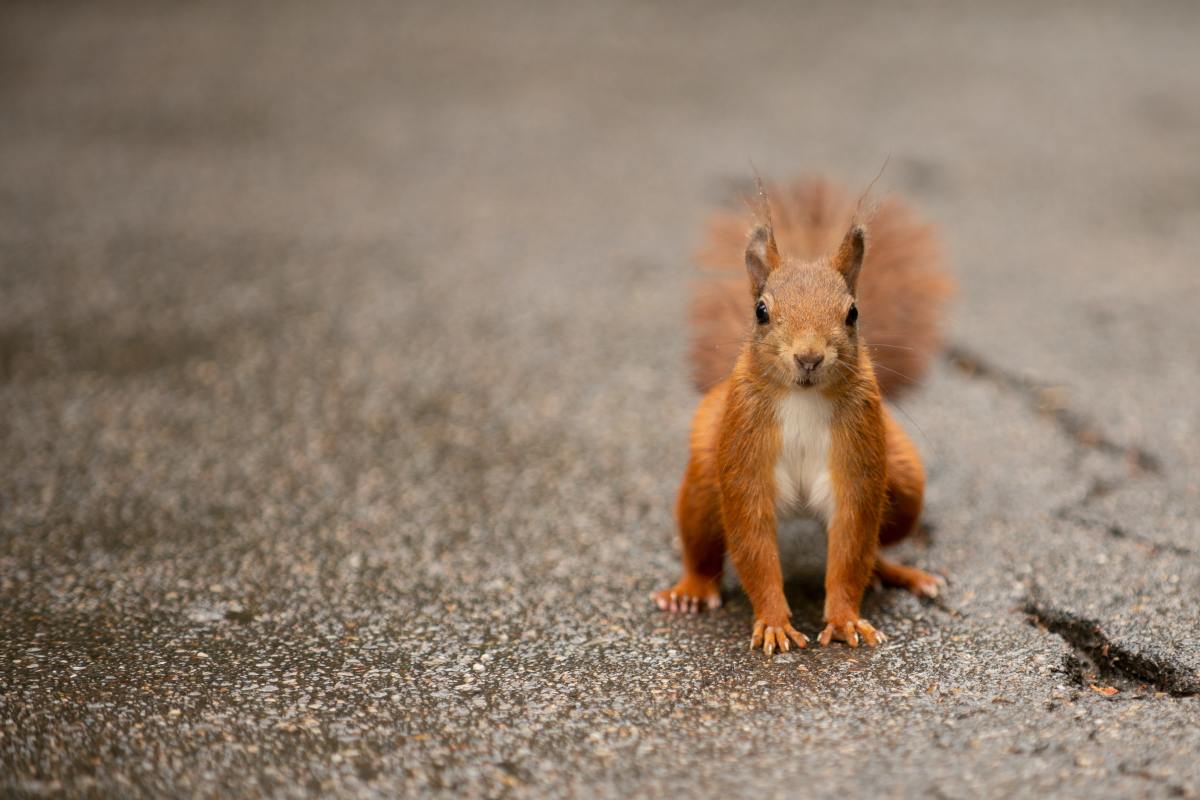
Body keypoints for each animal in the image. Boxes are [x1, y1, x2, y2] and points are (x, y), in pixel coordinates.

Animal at [652, 177, 953, 655]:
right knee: (700, 540)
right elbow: (753, 539)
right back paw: (691, 590)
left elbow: (852, 541)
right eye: (760, 311)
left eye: (853, 313)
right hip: (703, 476)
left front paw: (846, 618)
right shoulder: (743, 449)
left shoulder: (860, 450)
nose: (809, 357)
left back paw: (901, 574)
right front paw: (774, 621)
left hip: (905, 482)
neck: (802, 399)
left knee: (876, 547)